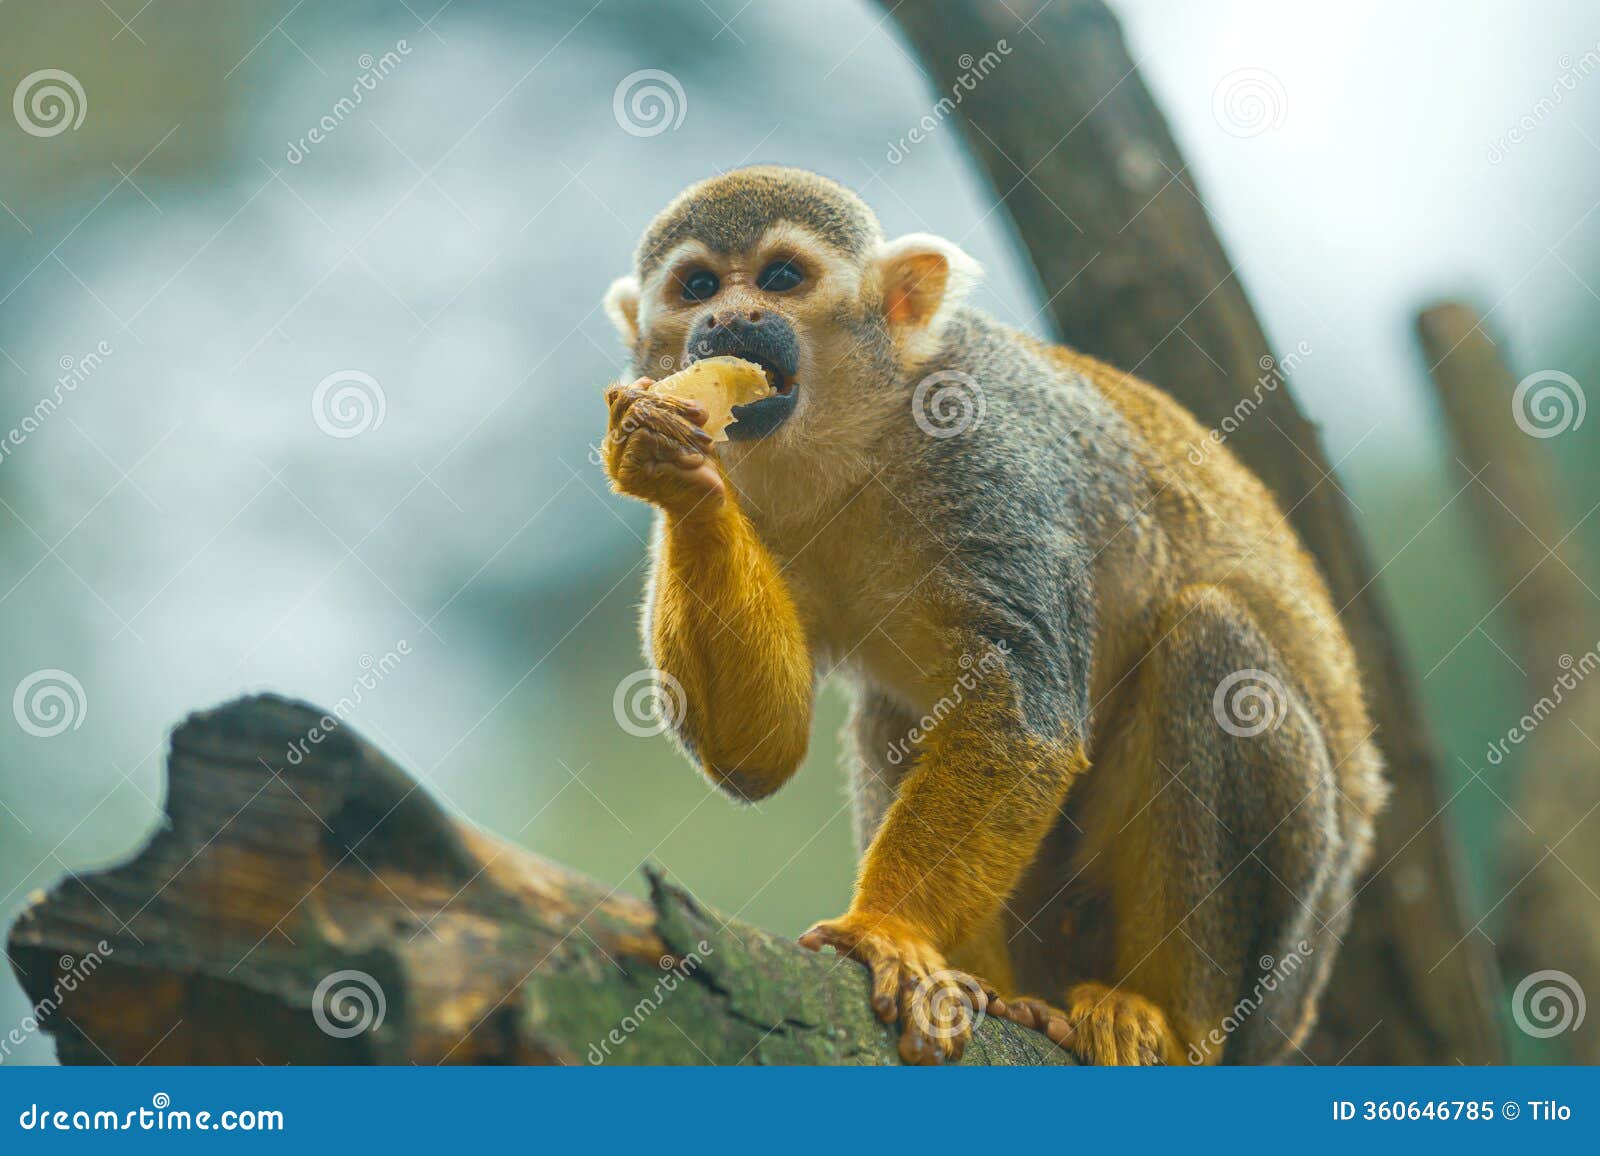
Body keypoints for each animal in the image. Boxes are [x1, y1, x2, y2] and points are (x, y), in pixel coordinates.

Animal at [598, 165, 1386, 1066]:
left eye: (781, 278)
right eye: (697, 287)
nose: (730, 319)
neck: (855, 432)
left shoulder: (981, 444)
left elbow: (1021, 713)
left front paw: (883, 929)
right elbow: (756, 756)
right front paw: (666, 460)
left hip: (1284, 956)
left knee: (1212, 644)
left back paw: (1171, 1020)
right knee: (891, 714)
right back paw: (990, 988)